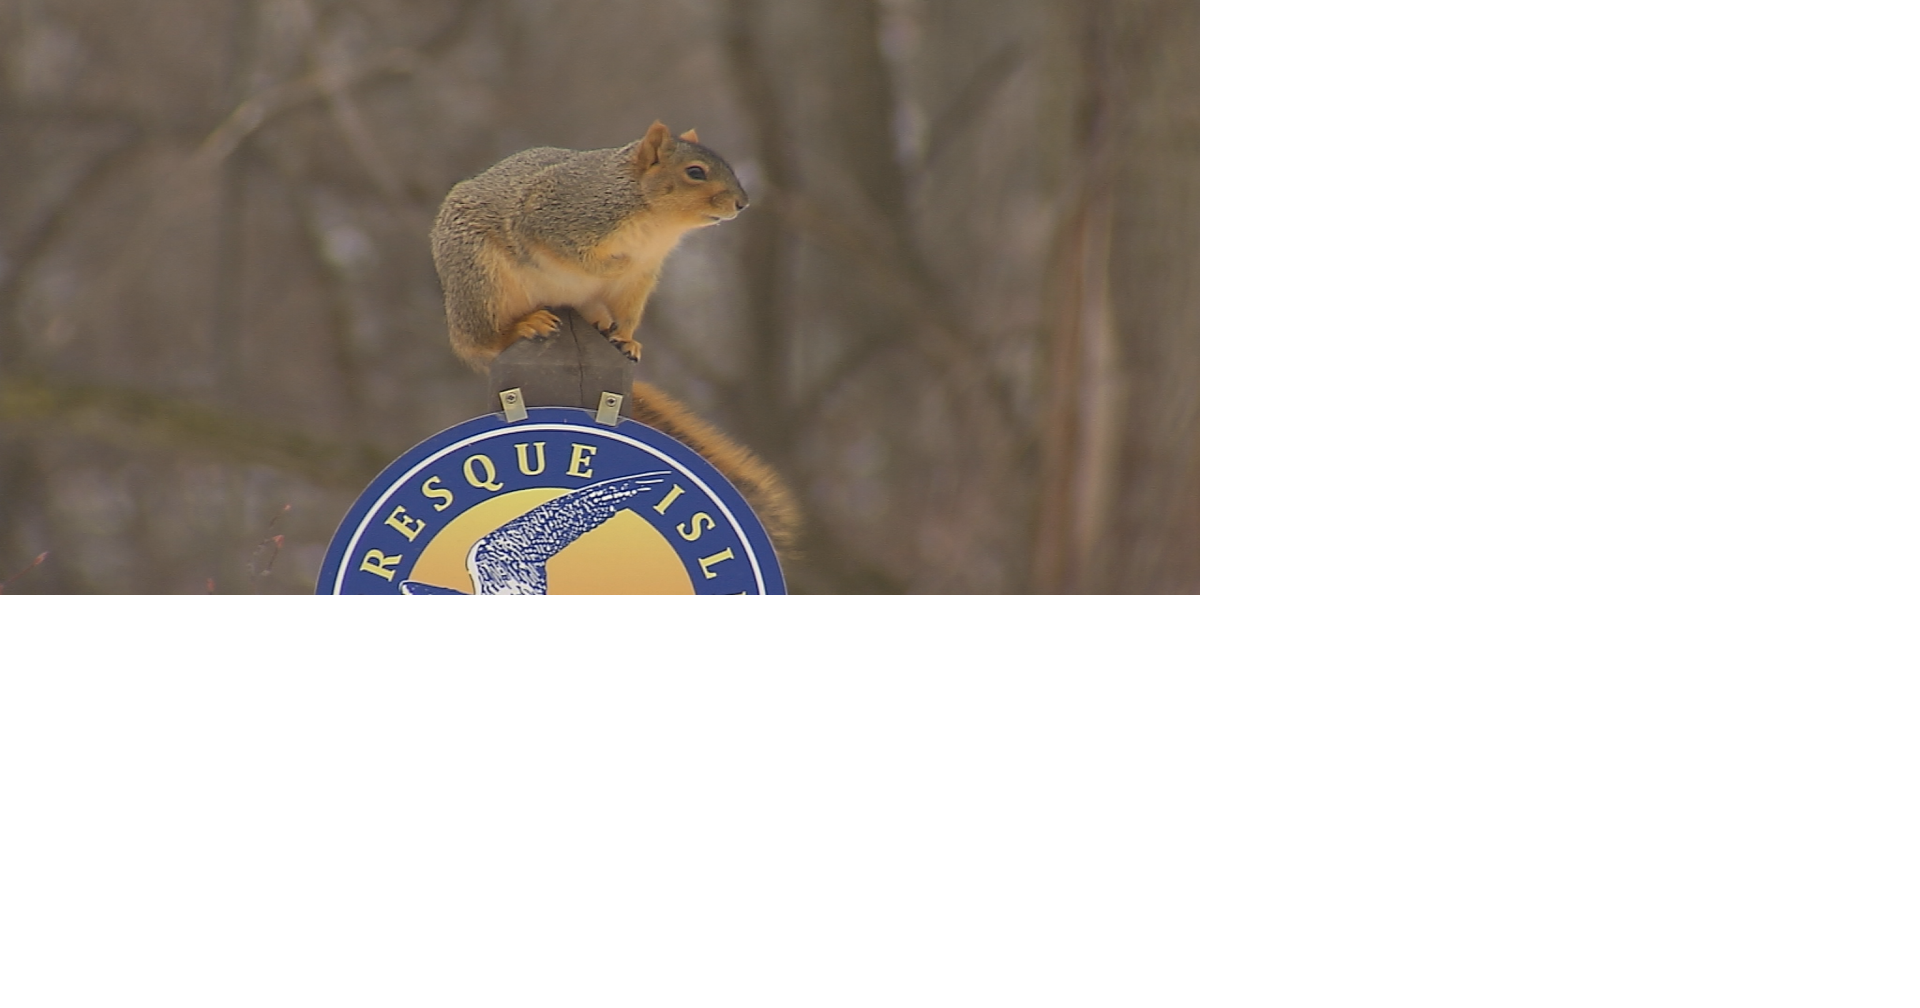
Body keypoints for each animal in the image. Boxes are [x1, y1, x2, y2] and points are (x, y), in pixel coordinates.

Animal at [430, 121, 799, 552]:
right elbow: (571, 251)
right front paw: (611, 262)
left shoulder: (641, 277)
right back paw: (523, 326)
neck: (654, 220)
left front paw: (626, 337)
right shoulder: (555, 215)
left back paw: (601, 329)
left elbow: (627, 309)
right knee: (483, 338)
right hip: (481, 281)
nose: (742, 203)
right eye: (695, 172)